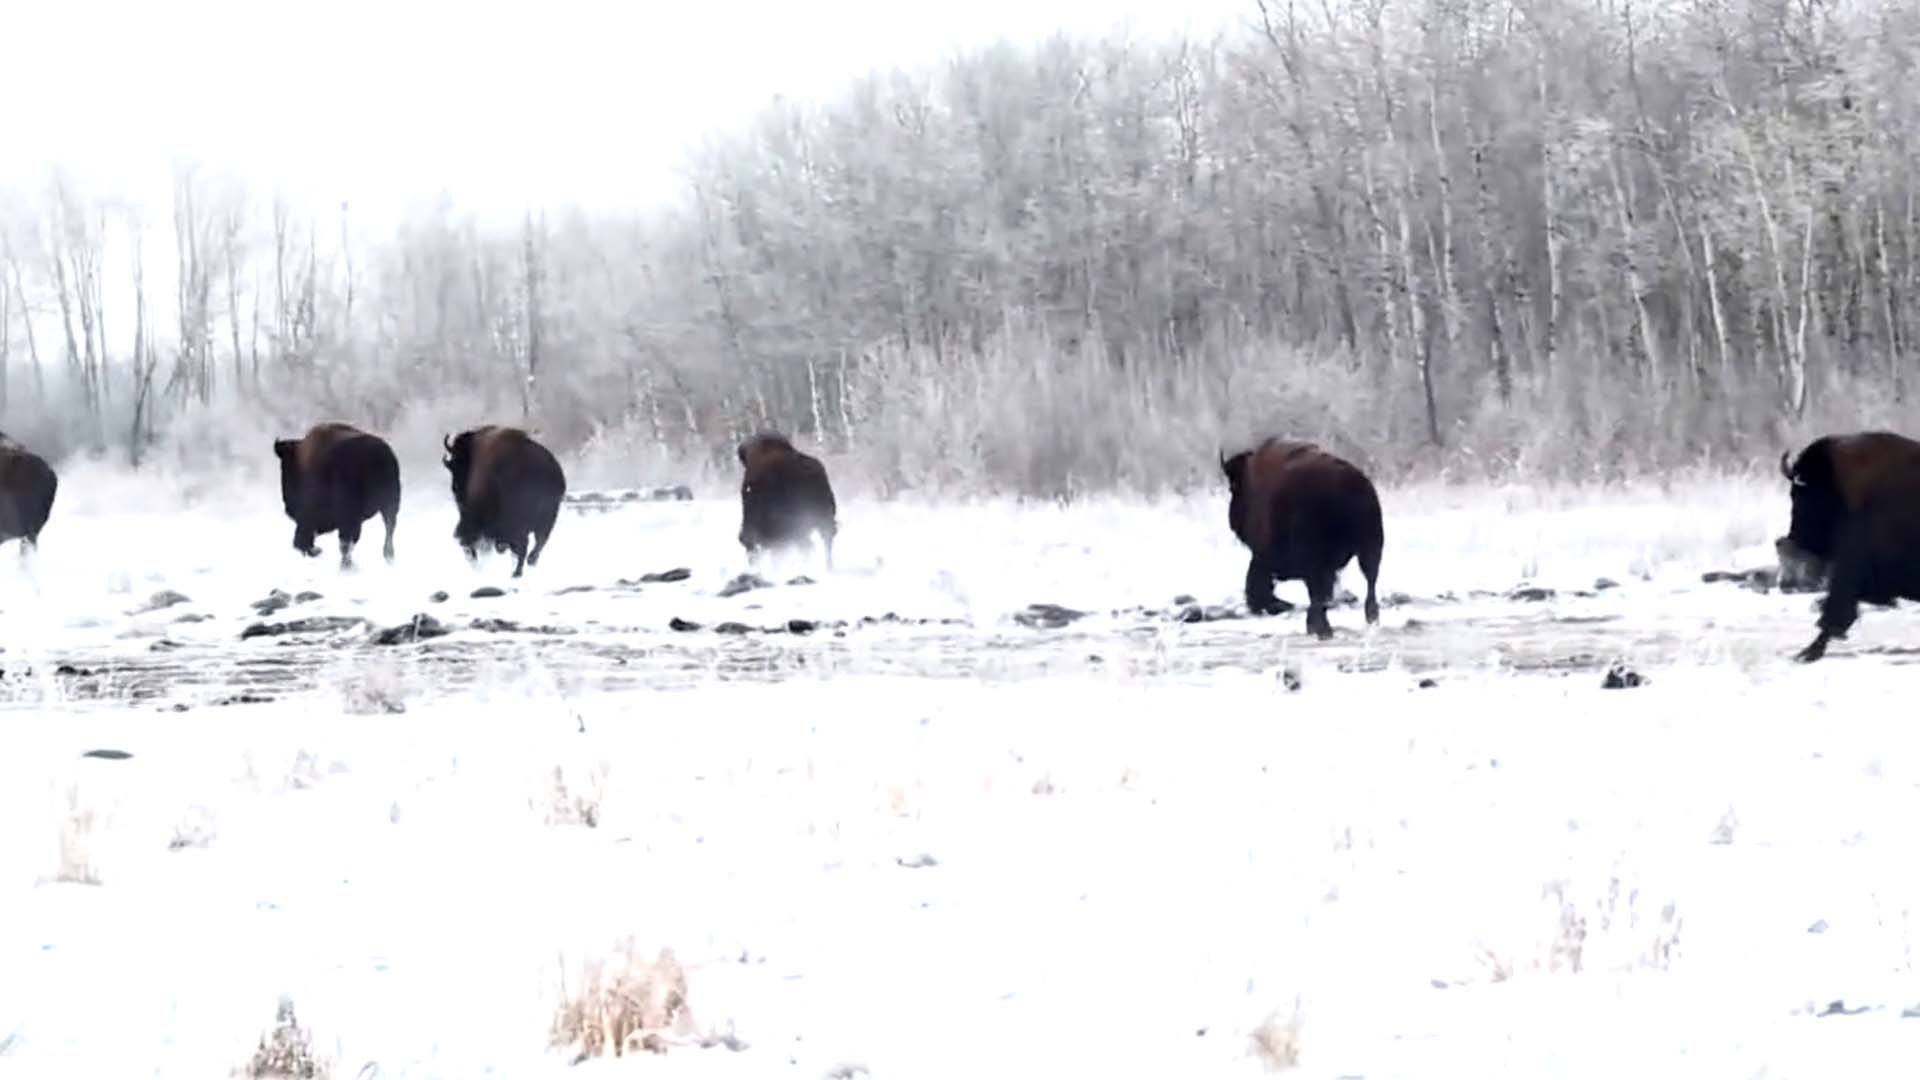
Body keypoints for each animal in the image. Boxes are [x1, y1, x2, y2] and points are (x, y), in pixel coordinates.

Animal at [272, 422, 401, 569]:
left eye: (285, 468)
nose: (289, 509)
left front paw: (317, 551)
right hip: (388, 504)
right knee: (388, 529)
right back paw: (387, 557)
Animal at [442, 425, 567, 577]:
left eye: (455, 465)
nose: (455, 488)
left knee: (523, 545)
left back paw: (516, 572)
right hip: (547, 520)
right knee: (538, 543)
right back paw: (529, 562)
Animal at [1220, 437, 1384, 639]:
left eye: (1233, 488)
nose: (1233, 522)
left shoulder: (1264, 555)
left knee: (1320, 591)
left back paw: (1321, 627)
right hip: (1370, 546)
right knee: (1370, 580)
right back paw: (1368, 618)